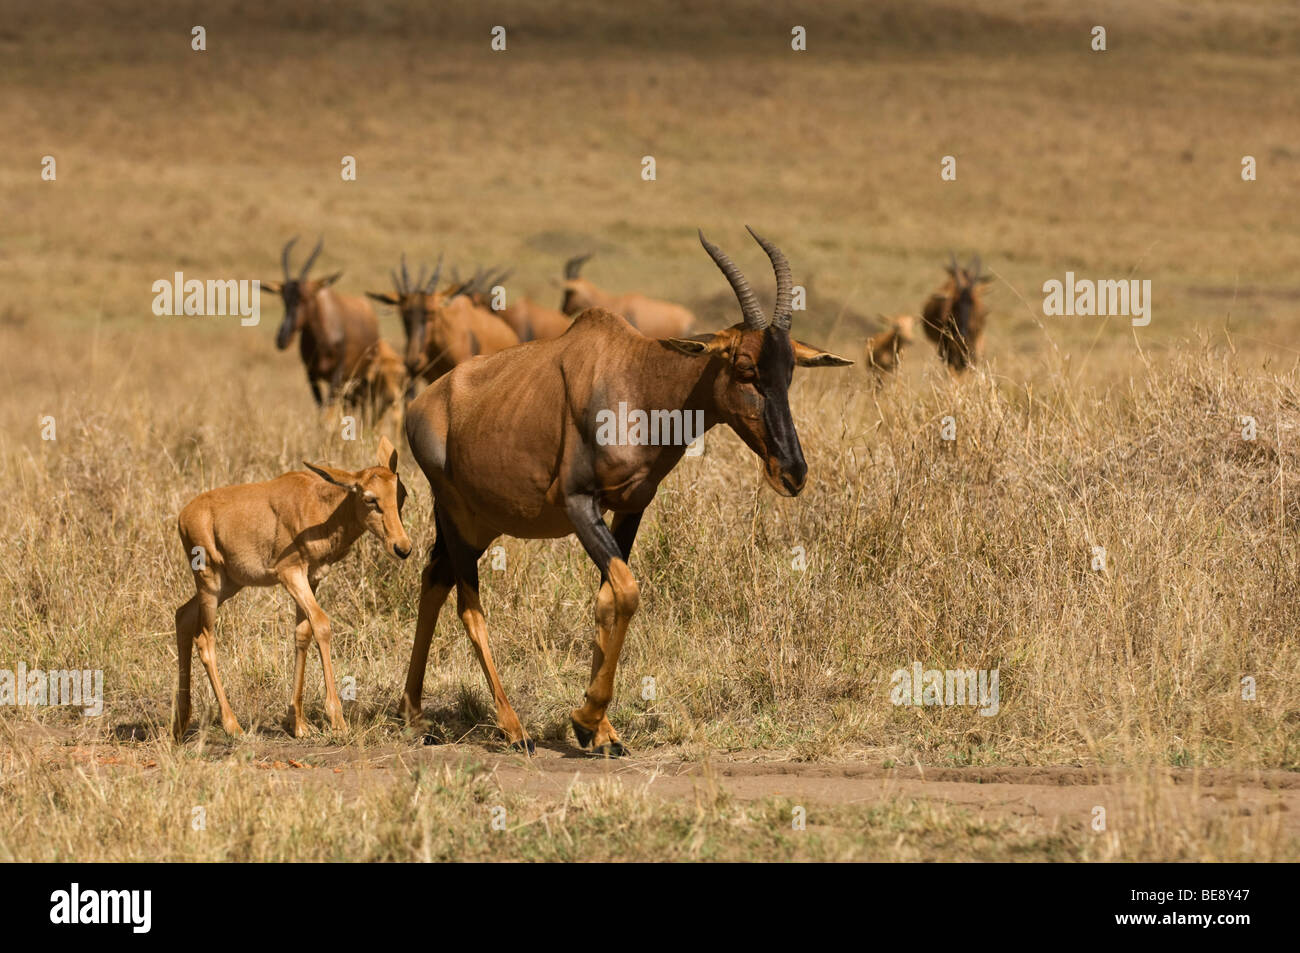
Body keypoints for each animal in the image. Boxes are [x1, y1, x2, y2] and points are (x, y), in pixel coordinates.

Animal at [173, 437, 411, 741]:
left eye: (401, 494)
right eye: (371, 498)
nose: (402, 548)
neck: (318, 505)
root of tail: (184, 516)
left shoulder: (311, 578)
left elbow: (302, 633)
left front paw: (297, 723)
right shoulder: (290, 573)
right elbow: (322, 624)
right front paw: (337, 720)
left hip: (230, 584)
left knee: (183, 615)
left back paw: (181, 722)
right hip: (210, 582)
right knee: (205, 640)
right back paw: (232, 725)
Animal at [262, 237, 387, 410]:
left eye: (305, 296)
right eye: (283, 298)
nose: (282, 338)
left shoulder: (336, 374)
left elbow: (328, 405)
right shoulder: (311, 375)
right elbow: (321, 407)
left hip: (360, 377)